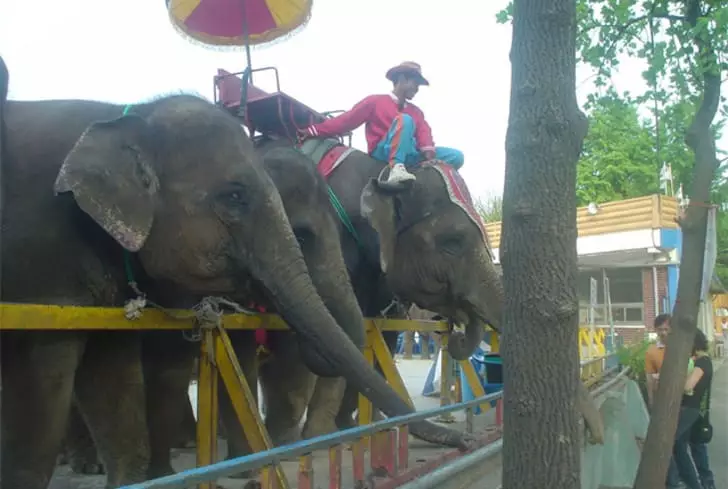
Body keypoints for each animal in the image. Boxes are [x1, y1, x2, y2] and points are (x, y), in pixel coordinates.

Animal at [0, 71, 470, 488]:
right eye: (235, 197)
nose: (464, 441)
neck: (126, 116)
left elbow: (115, 370)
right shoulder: (41, 255)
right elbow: (44, 369)